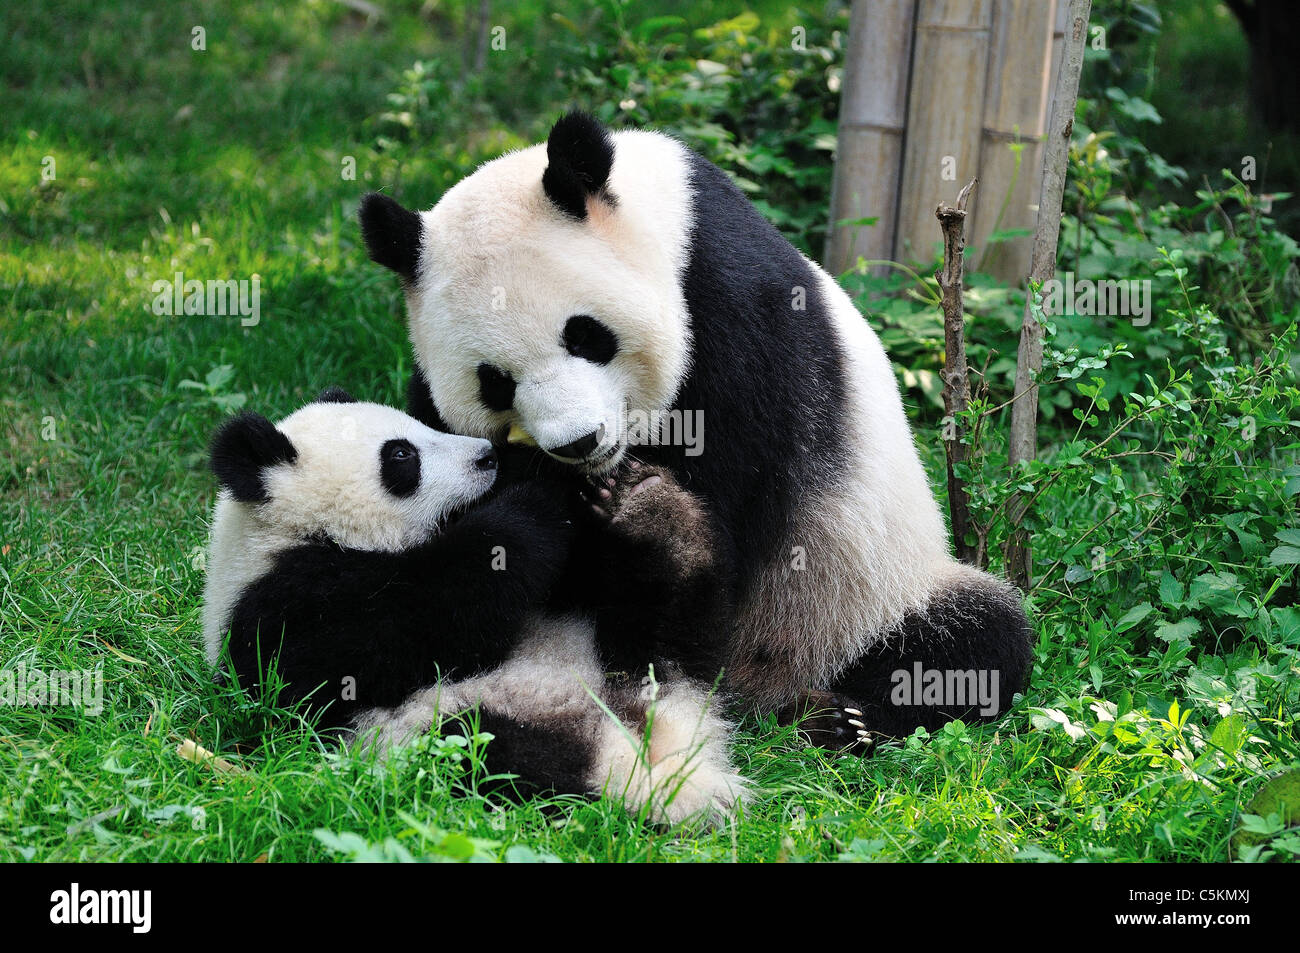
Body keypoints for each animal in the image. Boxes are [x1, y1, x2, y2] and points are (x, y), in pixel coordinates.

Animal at [201, 388, 747, 825]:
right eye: (402, 455)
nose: (486, 457)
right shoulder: (280, 609)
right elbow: (413, 619)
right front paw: (534, 500)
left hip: (619, 656)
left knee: (669, 626)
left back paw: (652, 511)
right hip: (427, 731)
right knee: (496, 753)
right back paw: (628, 785)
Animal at [359, 111, 1034, 749]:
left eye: (585, 336)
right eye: (495, 382)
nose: (579, 443)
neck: (662, 222)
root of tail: (763, 685)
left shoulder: (741, 322)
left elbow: (728, 518)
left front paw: (659, 529)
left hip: (860, 591)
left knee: (972, 645)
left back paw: (842, 719)